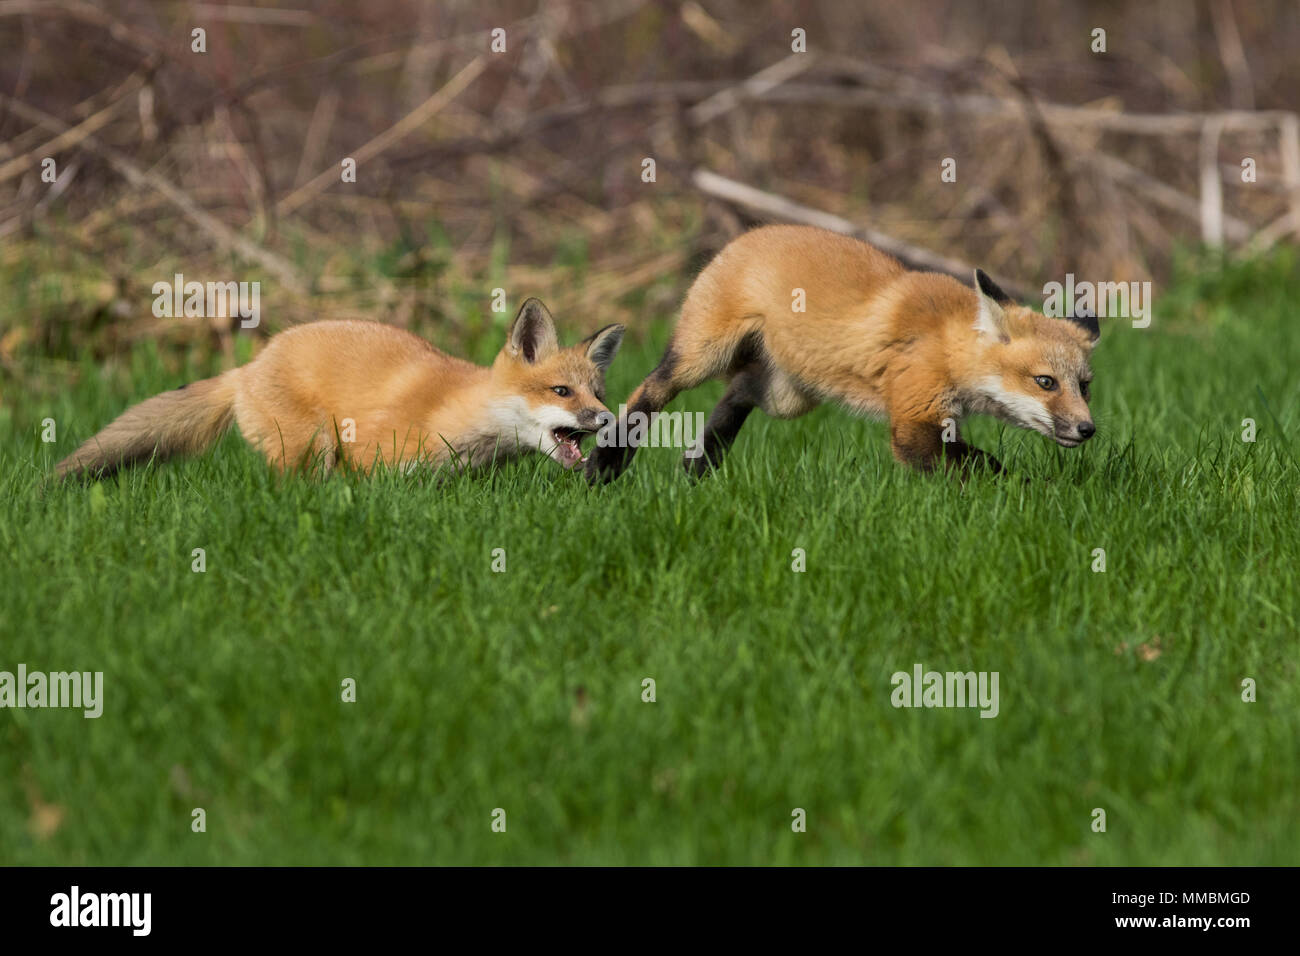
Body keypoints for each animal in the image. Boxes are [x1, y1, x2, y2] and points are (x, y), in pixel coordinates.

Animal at [56, 298, 624, 480]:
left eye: (598, 393)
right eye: (561, 392)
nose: (608, 420)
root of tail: (248, 367)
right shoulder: (377, 456)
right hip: (314, 447)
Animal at [586, 224, 1099, 483]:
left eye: (1084, 386)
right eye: (1045, 382)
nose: (1088, 429)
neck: (946, 345)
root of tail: (749, 232)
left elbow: (982, 463)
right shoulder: (912, 423)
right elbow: (986, 467)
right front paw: (1032, 494)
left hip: (787, 395)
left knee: (734, 399)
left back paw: (697, 469)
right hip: (702, 356)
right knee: (648, 392)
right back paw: (605, 466)